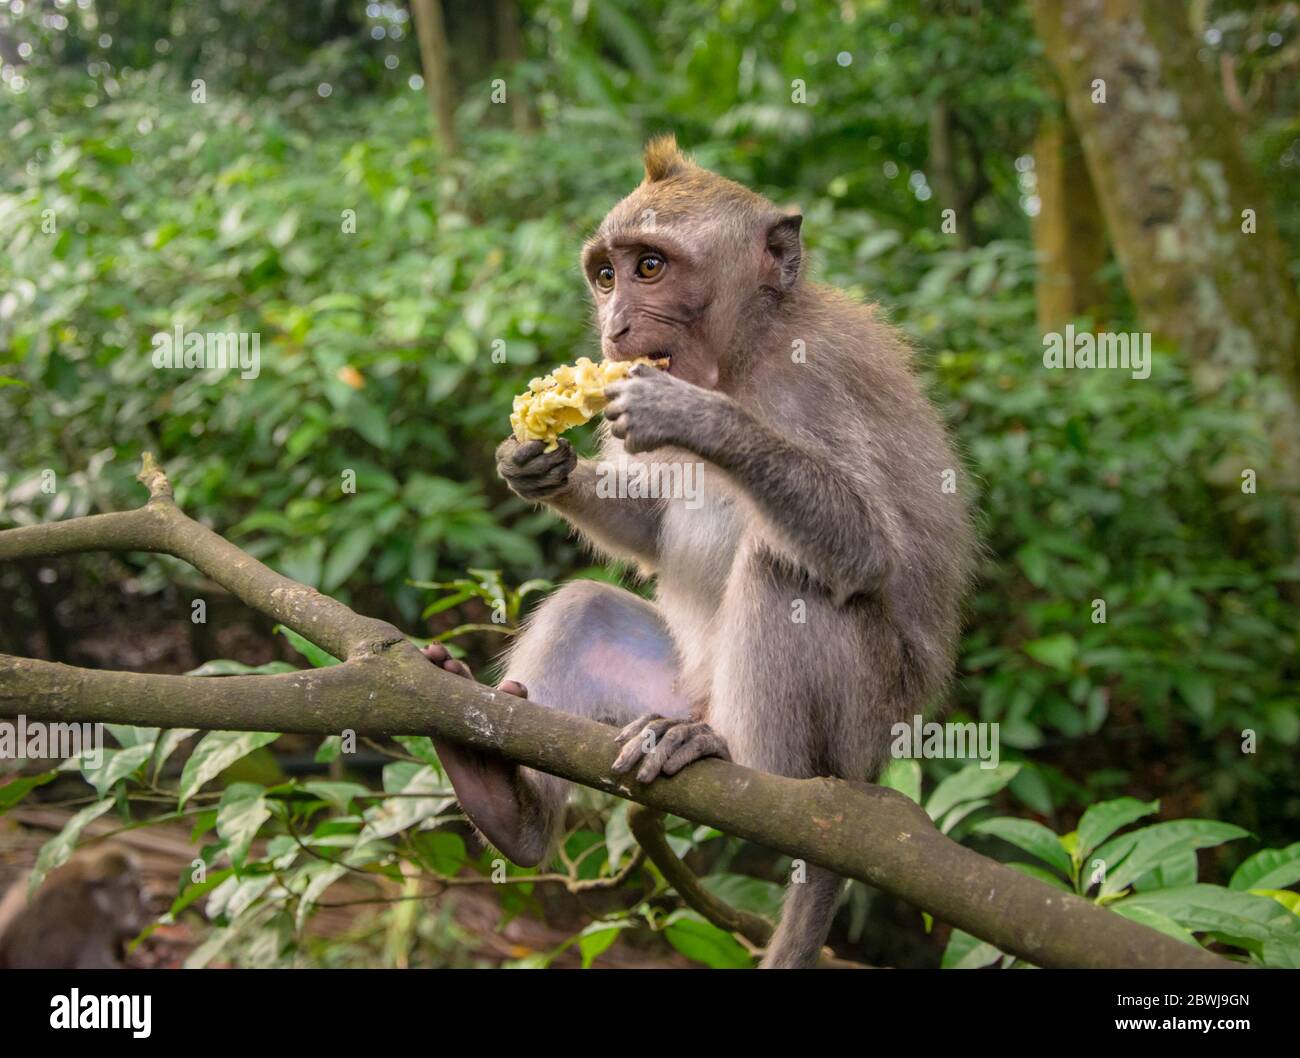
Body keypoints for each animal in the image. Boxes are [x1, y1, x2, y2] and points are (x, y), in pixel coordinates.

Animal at [424, 134, 975, 968]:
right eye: (606, 275)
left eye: (650, 268)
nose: (614, 328)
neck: (739, 359)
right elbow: (651, 527)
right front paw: (535, 464)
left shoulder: (817, 375)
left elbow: (868, 549)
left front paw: (696, 417)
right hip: (669, 685)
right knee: (586, 609)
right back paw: (505, 802)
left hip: (856, 726)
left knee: (786, 571)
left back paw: (742, 761)